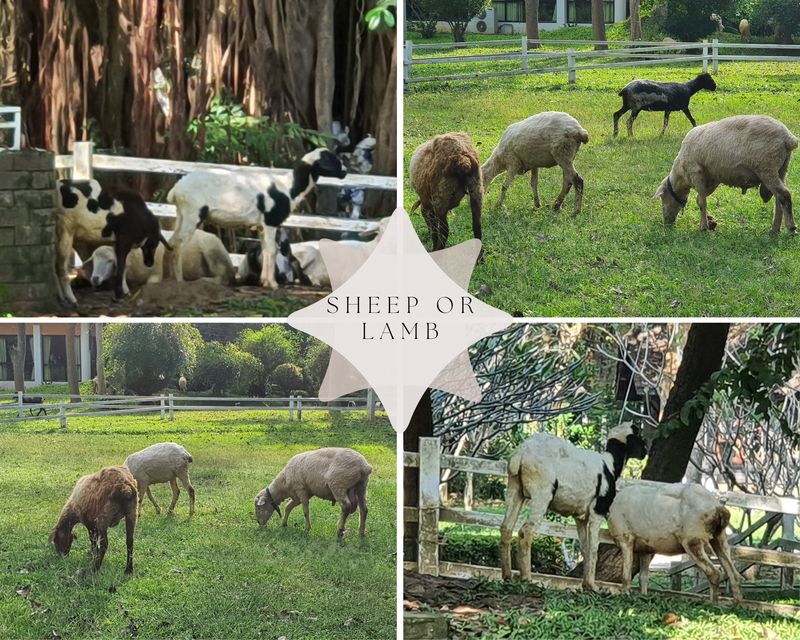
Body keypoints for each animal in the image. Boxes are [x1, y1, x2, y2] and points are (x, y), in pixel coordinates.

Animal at [85, 229, 235, 292]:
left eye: (110, 261)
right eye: (93, 260)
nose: (94, 279)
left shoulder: (156, 273)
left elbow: (149, 284)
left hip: (211, 252)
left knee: (223, 278)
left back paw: (203, 280)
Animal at [166, 148, 347, 289]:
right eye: (331, 159)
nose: (345, 172)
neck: (289, 188)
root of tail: (176, 190)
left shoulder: (262, 225)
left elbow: (267, 250)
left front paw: (265, 281)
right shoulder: (271, 221)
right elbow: (273, 250)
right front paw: (272, 284)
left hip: (181, 215)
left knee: (171, 242)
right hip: (192, 214)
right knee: (178, 244)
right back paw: (179, 280)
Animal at [499, 423, 647, 592]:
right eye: (637, 435)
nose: (645, 451)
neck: (610, 465)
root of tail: (521, 453)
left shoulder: (580, 519)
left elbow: (585, 548)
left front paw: (585, 585)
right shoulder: (597, 512)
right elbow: (594, 548)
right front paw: (593, 587)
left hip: (515, 489)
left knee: (506, 527)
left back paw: (507, 575)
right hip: (541, 494)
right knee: (526, 531)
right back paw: (527, 578)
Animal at [608, 482, 744, 603]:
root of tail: (718, 507)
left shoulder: (625, 538)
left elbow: (626, 575)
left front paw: (626, 595)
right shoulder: (646, 549)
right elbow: (643, 577)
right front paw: (643, 596)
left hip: (692, 539)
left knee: (714, 573)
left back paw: (713, 605)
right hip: (720, 537)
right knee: (734, 574)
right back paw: (737, 604)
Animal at [654, 115, 798, 233]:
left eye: (662, 198)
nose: (667, 223)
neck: (681, 175)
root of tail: (788, 138)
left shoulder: (696, 173)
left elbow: (702, 201)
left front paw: (703, 226)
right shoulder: (712, 179)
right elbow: (700, 199)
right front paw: (710, 221)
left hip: (767, 168)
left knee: (784, 195)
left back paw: (791, 228)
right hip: (781, 169)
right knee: (779, 199)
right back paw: (775, 229)